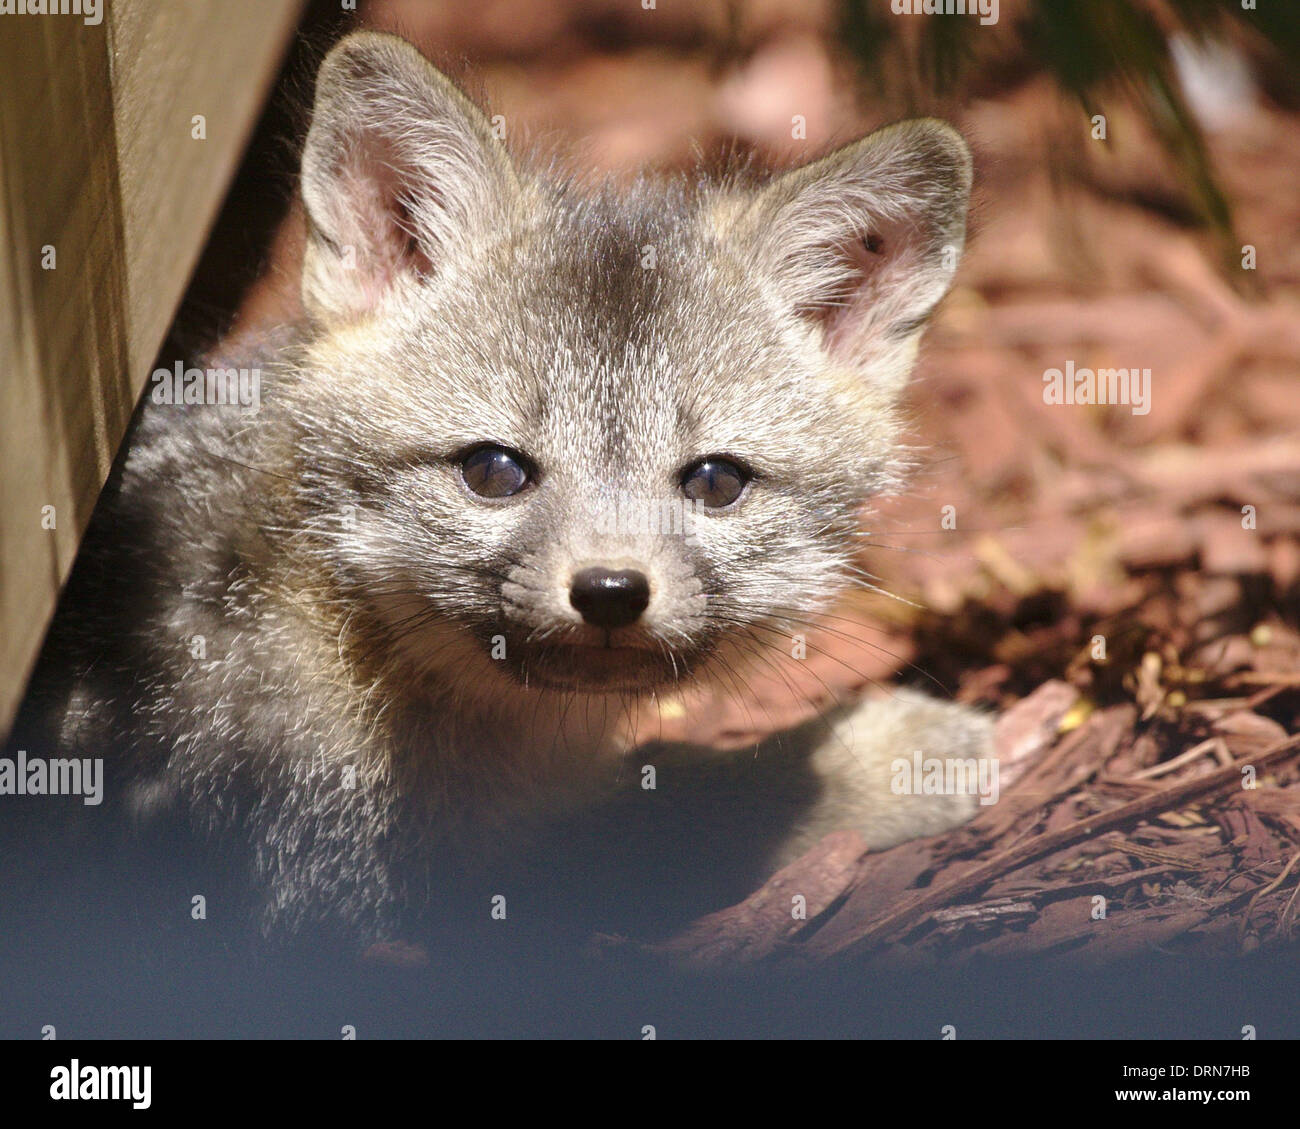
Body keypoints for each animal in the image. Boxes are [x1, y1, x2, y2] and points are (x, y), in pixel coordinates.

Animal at [6, 31, 992, 950]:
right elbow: (678, 805)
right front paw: (877, 759)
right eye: (493, 470)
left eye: (717, 482)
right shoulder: (366, 893)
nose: (609, 592)